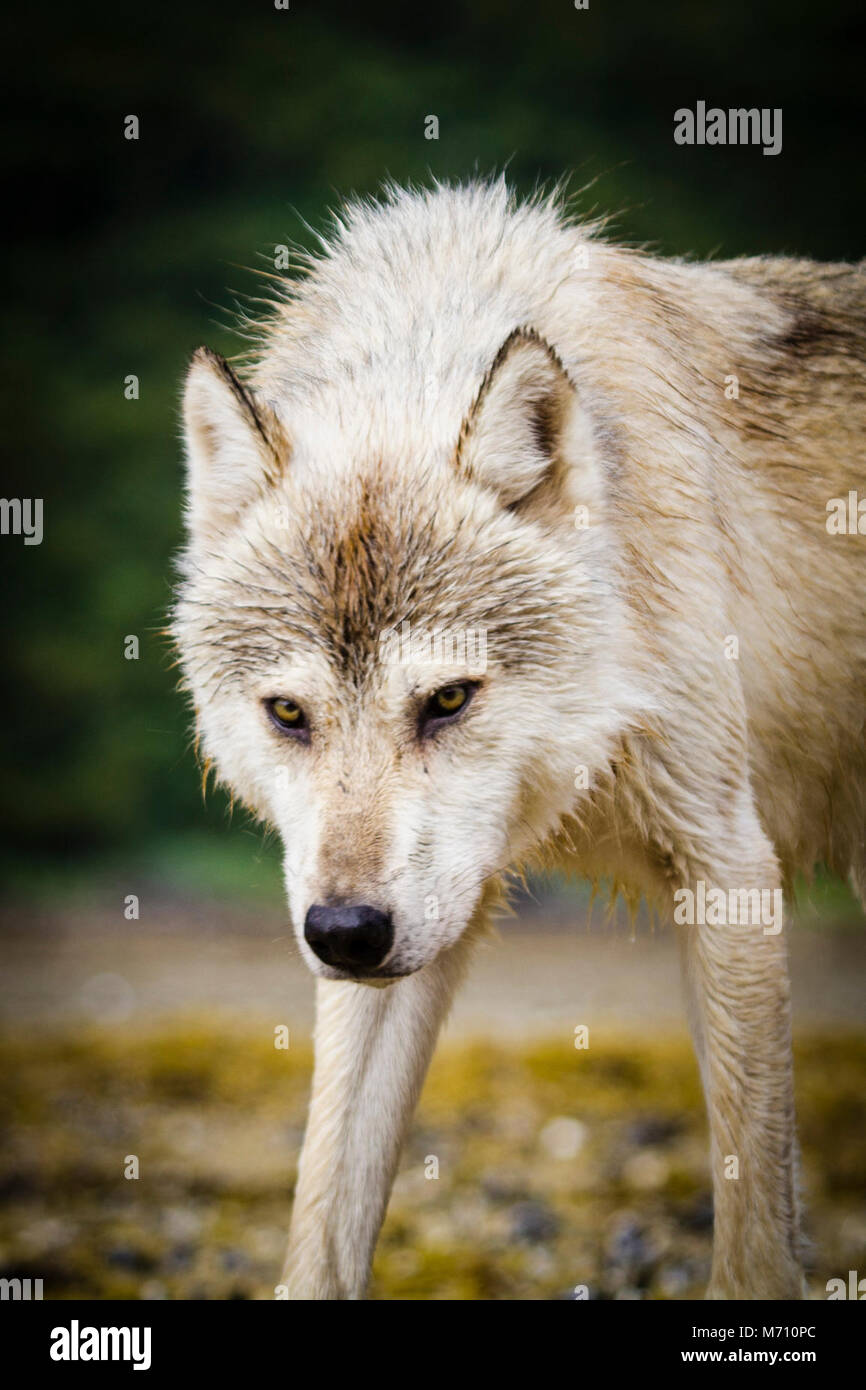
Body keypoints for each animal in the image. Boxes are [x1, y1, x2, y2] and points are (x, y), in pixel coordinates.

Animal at [172, 178, 866, 1300]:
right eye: (289, 715)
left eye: (449, 699)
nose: (345, 933)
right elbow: (320, 1230)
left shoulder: (725, 864)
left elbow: (755, 1235)